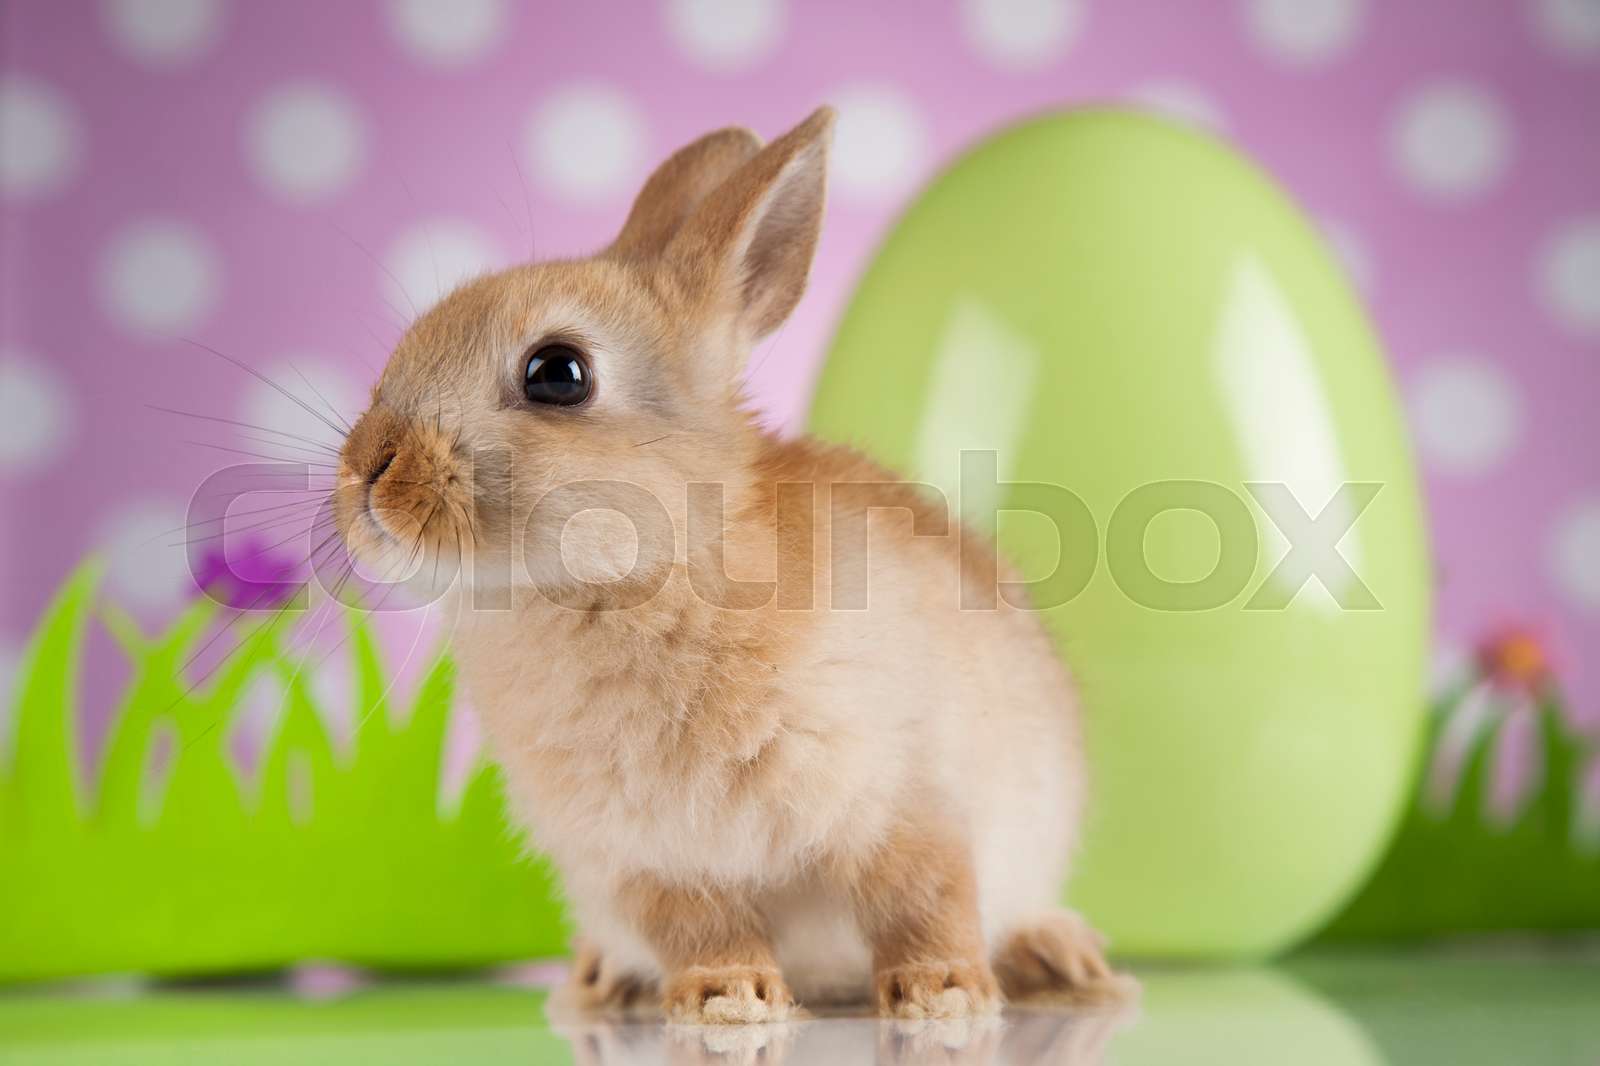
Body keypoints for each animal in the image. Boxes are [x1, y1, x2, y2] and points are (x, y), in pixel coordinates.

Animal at [332, 107, 1134, 1024]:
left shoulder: (904, 798)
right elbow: (702, 929)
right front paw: (728, 999)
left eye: (558, 374)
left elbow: (923, 898)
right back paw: (600, 984)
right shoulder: (651, 863)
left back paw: (1062, 961)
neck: (642, 571)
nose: (368, 470)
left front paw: (944, 995)